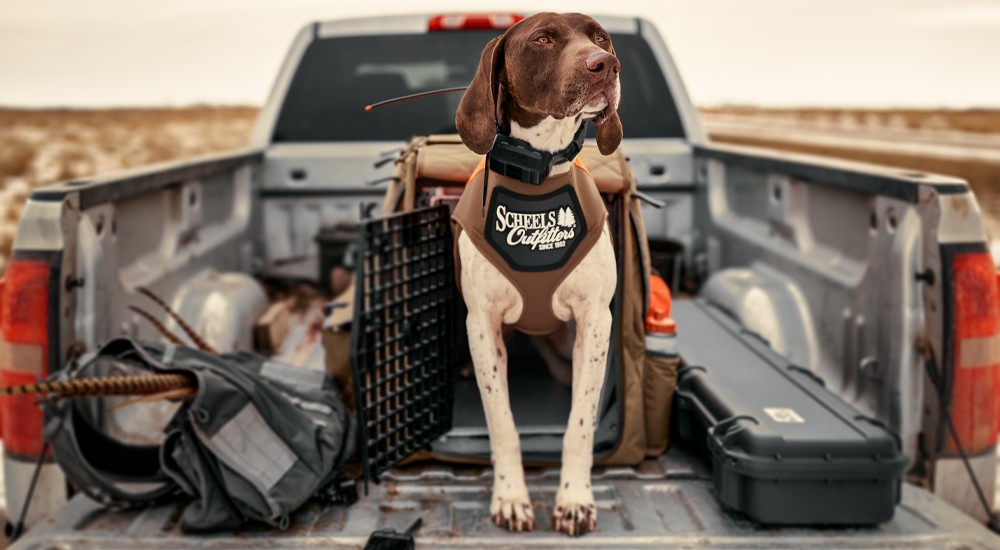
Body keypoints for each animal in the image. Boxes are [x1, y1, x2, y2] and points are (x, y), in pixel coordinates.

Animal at [456, 12, 624, 540]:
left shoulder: (595, 323)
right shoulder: (482, 326)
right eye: (543, 39)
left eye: (600, 37)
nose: (605, 65)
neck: (539, 176)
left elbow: (580, 426)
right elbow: (504, 426)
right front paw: (510, 497)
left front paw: (574, 500)